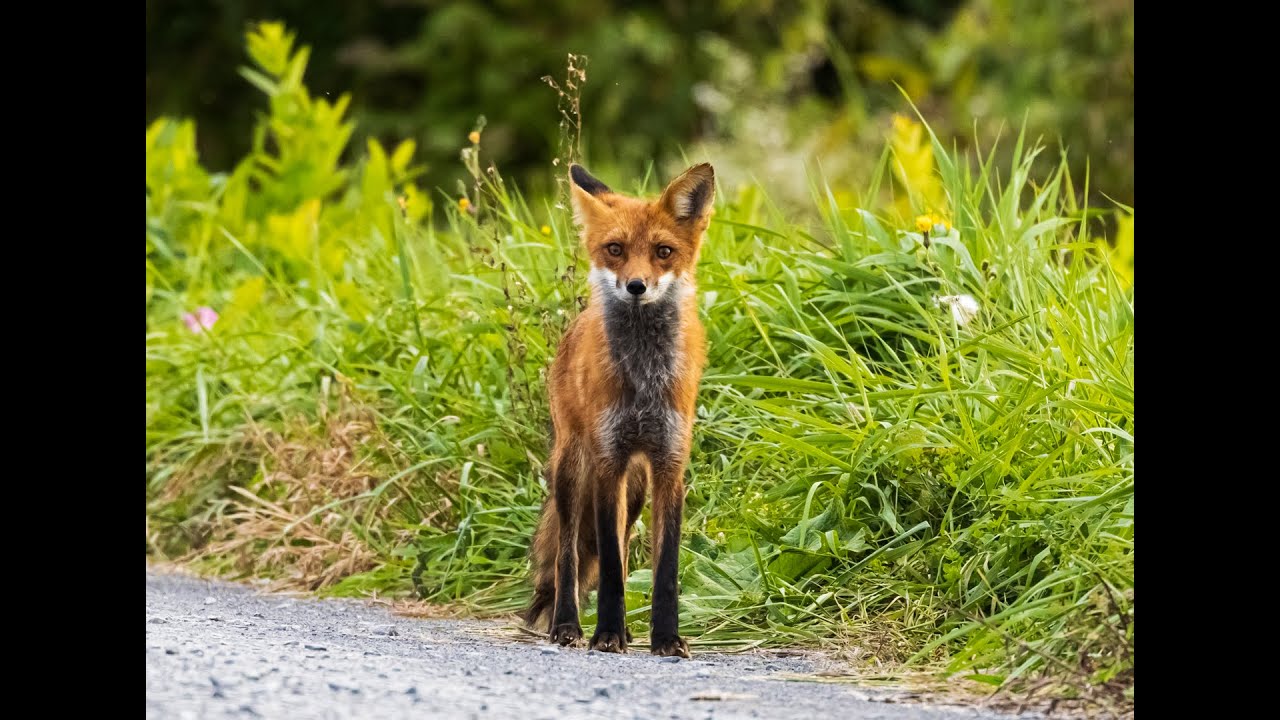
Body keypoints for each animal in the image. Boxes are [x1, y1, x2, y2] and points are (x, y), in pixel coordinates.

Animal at [522, 162, 715, 658]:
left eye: (664, 252)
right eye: (615, 250)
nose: (636, 286)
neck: (645, 379)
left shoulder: (669, 466)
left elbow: (662, 570)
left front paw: (665, 638)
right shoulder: (609, 463)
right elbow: (607, 566)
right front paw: (605, 633)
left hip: (636, 487)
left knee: (627, 551)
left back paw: (628, 631)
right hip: (573, 469)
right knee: (569, 554)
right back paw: (568, 626)